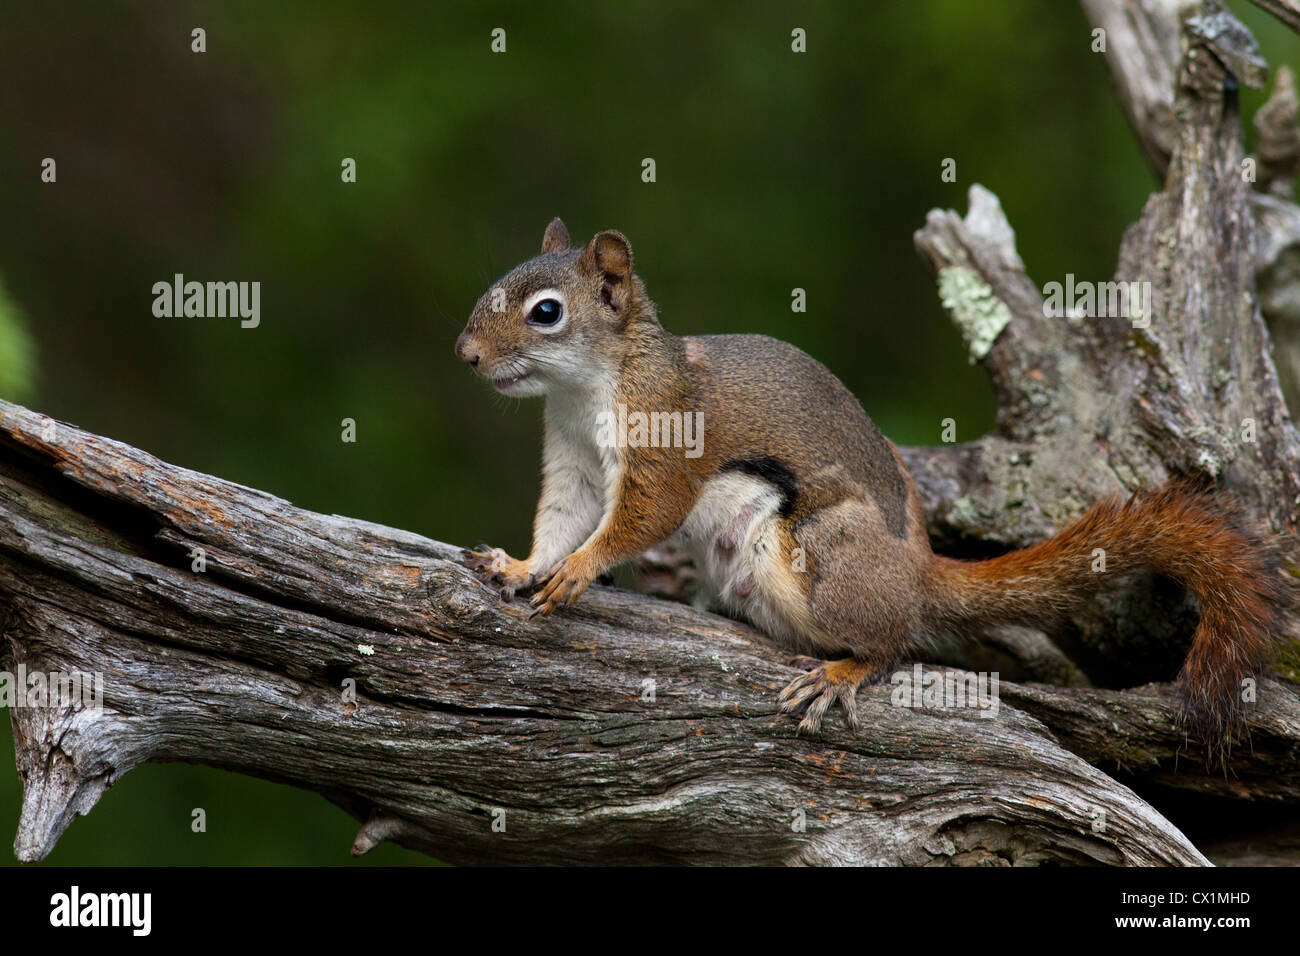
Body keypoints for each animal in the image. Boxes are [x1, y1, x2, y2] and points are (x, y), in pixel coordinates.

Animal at [455, 217, 1288, 762]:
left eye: (546, 313)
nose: (465, 356)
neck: (587, 389)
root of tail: (919, 575)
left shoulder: (666, 445)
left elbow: (639, 519)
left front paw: (581, 570)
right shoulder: (571, 460)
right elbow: (561, 519)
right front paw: (523, 566)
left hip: (824, 554)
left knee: (891, 641)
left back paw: (845, 672)